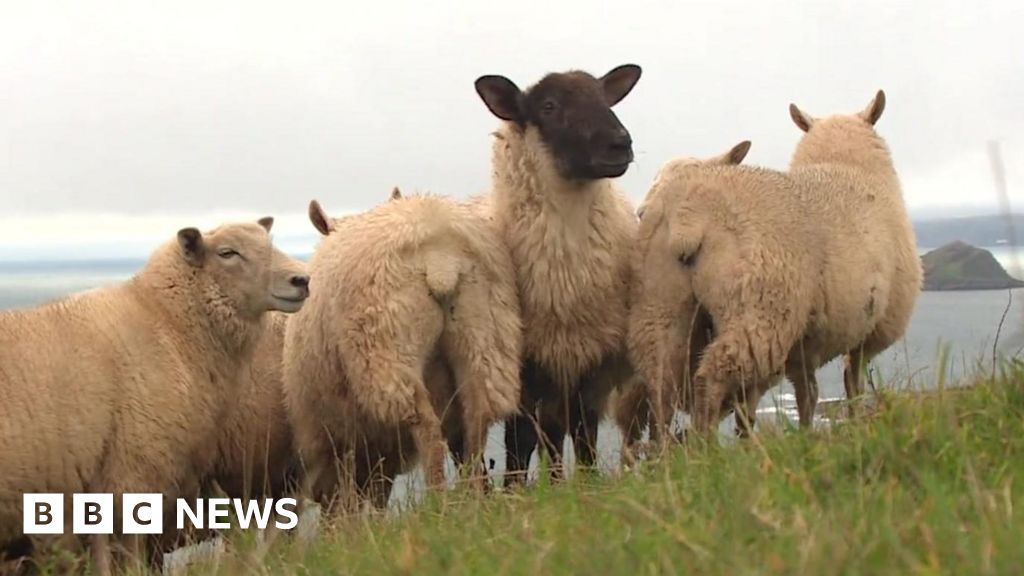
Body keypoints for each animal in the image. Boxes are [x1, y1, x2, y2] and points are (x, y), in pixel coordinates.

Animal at [0, 218, 309, 574]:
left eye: (268, 242)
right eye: (227, 253)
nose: (302, 280)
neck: (166, 322)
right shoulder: (132, 471)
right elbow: (127, 550)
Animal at [283, 193, 521, 511]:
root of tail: (440, 258)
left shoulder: (338, 436)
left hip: (388, 349)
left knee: (427, 427)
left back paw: (439, 500)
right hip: (488, 335)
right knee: (477, 416)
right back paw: (473, 498)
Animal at [473, 64, 642, 484]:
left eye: (604, 97)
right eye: (548, 106)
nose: (619, 144)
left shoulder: (590, 359)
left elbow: (583, 432)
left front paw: (587, 482)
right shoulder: (525, 366)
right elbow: (520, 440)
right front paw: (515, 490)